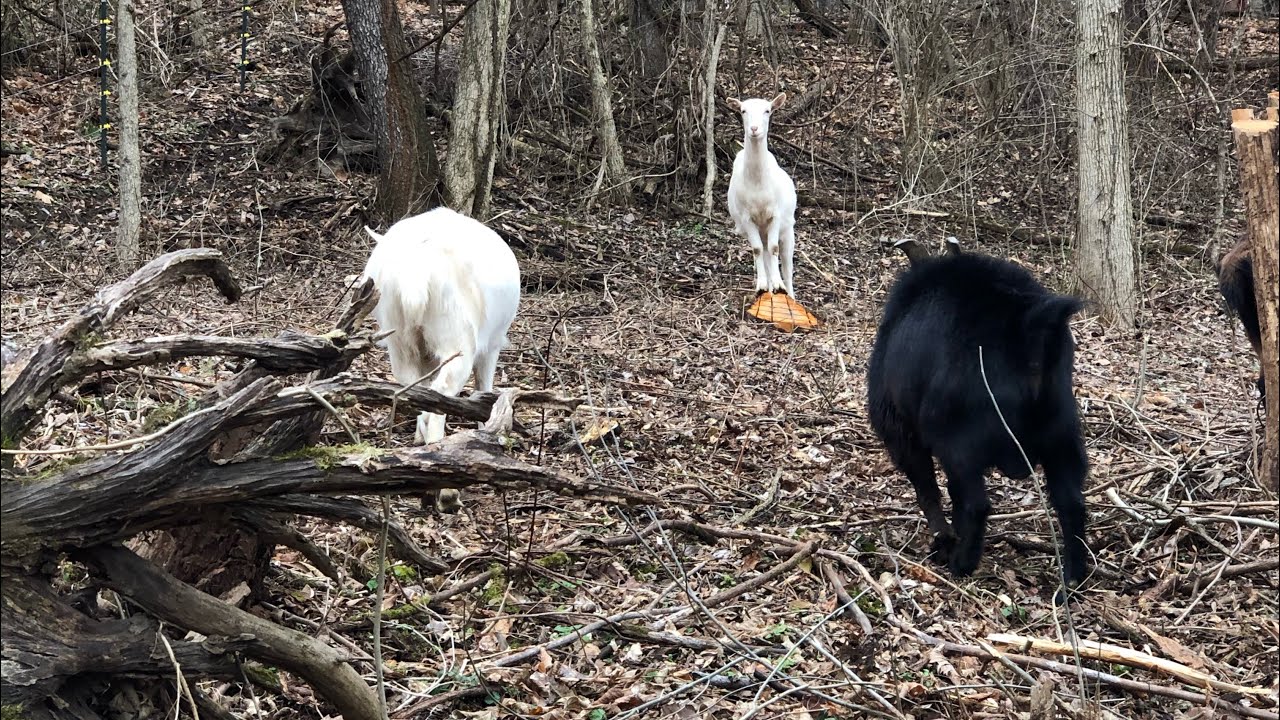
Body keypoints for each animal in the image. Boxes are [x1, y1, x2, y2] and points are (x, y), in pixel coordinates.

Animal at [362, 207, 521, 512]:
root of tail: (414, 278)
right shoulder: (493, 342)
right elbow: (485, 386)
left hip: (399, 340)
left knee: (416, 390)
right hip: (458, 337)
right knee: (441, 394)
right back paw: (446, 491)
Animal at [728, 94, 798, 297]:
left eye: (768, 110)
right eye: (743, 110)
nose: (754, 129)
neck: (758, 184)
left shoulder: (775, 215)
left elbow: (775, 249)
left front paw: (779, 286)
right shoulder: (747, 218)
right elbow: (757, 250)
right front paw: (762, 286)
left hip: (788, 231)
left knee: (787, 266)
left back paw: (788, 292)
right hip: (762, 230)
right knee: (765, 252)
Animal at [867, 250, 1089, 599]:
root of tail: (1032, 326)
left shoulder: (903, 432)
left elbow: (928, 490)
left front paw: (944, 542)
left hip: (960, 444)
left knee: (976, 504)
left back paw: (962, 563)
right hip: (1062, 437)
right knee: (1072, 504)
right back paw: (1072, 579)